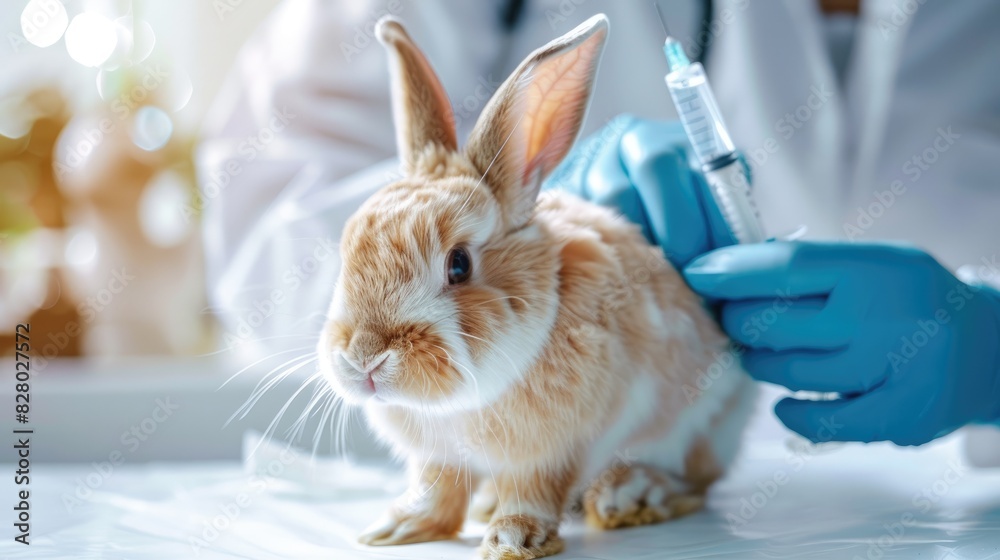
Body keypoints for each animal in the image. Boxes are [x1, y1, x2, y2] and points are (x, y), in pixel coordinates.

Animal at [317, 13, 757, 560]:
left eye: (458, 265)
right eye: (348, 249)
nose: (364, 356)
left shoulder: (550, 452)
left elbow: (533, 491)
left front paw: (512, 539)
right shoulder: (439, 457)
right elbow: (437, 489)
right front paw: (397, 528)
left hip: (699, 429)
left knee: (693, 481)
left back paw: (628, 494)